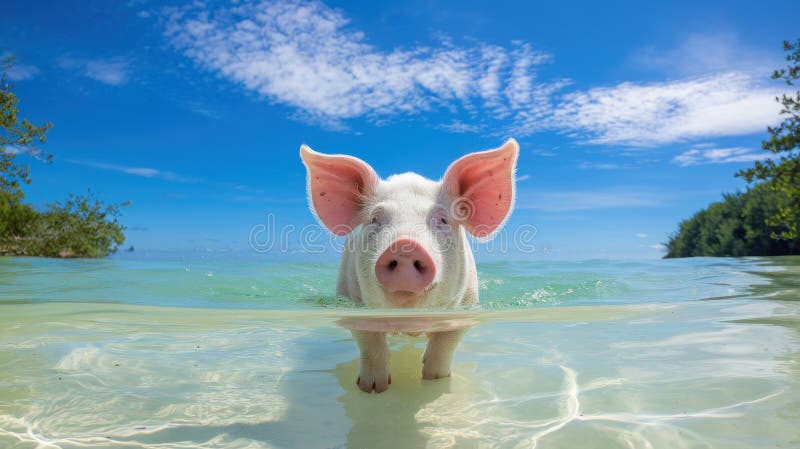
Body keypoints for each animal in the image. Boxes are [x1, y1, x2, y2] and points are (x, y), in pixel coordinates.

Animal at [300, 139, 518, 393]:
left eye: (443, 219)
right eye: (375, 219)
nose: (405, 245)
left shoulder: (467, 306)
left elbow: (446, 343)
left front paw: (435, 380)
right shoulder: (351, 303)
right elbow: (369, 342)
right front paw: (371, 388)